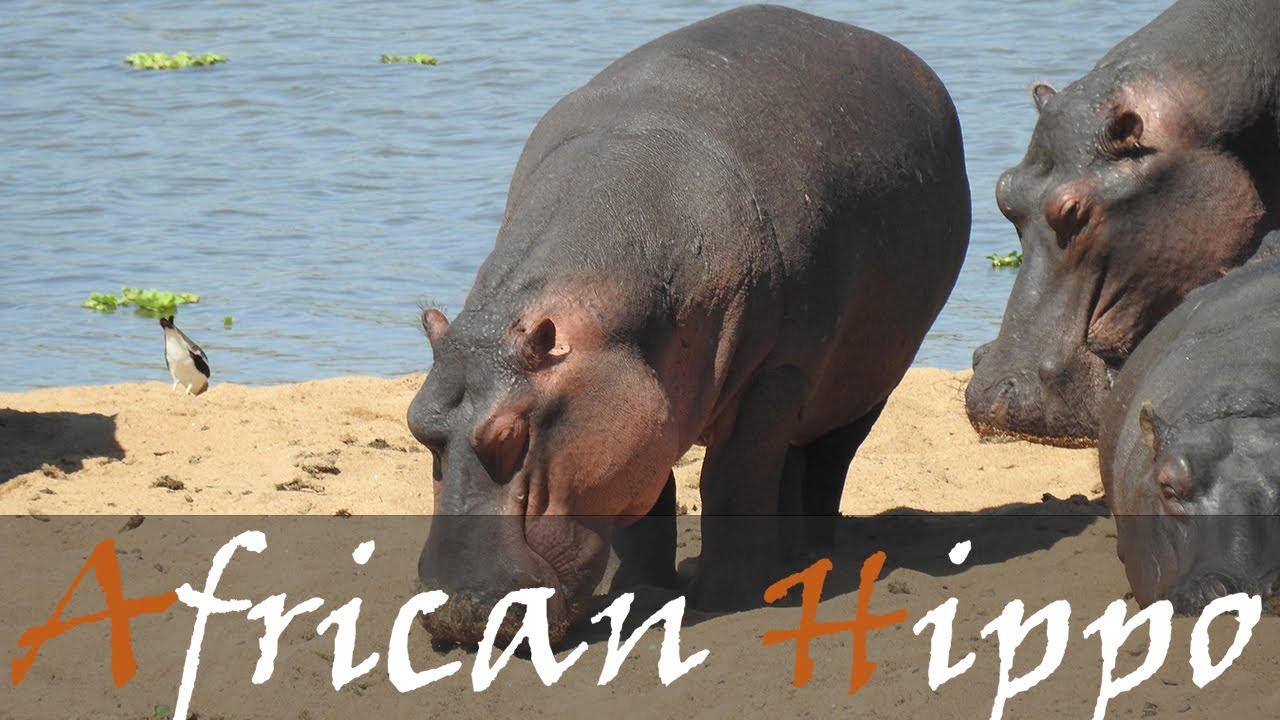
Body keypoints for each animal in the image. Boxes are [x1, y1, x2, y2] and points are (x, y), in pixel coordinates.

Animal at [406, 5, 969, 644]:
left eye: (509, 435)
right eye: (417, 425)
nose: (458, 611)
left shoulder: (778, 373)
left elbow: (732, 481)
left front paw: (727, 597)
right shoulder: (639, 406)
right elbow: (646, 497)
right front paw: (642, 591)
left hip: (866, 381)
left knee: (828, 462)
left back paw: (811, 559)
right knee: (790, 468)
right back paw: (785, 560)